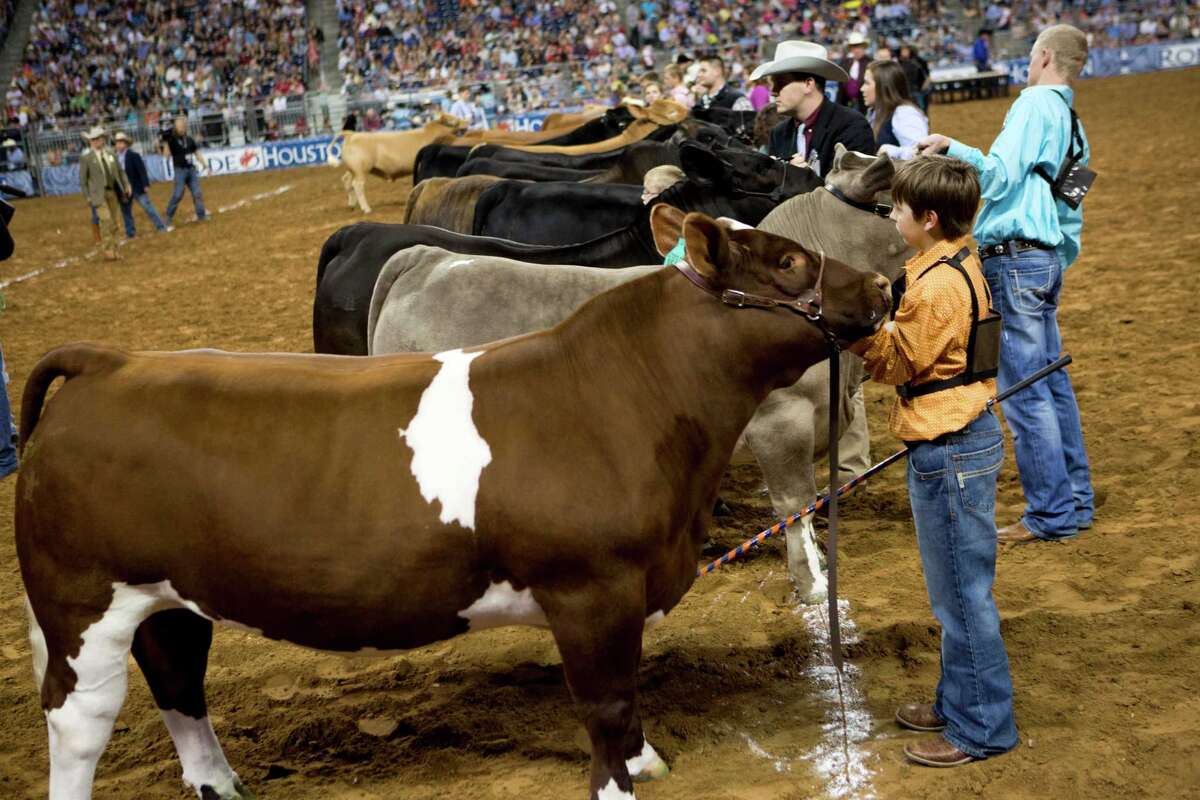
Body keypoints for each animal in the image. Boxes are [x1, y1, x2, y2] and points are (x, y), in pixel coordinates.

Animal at [17, 211, 891, 800]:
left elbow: (627, 688)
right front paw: (621, 779)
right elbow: (604, 699)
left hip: (167, 596)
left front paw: (649, 759)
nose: (884, 285)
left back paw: (222, 785)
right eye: (787, 259)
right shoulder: (591, 586)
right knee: (78, 721)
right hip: (81, 602)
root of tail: (109, 363)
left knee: (177, 683)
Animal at [328, 113, 466, 214]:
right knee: (357, 185)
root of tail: (352, 134)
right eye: (454, 120)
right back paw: (366, 209)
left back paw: (352, 205)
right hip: (361, 169)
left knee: (347, 181)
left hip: (353, 169)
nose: (466, 121)